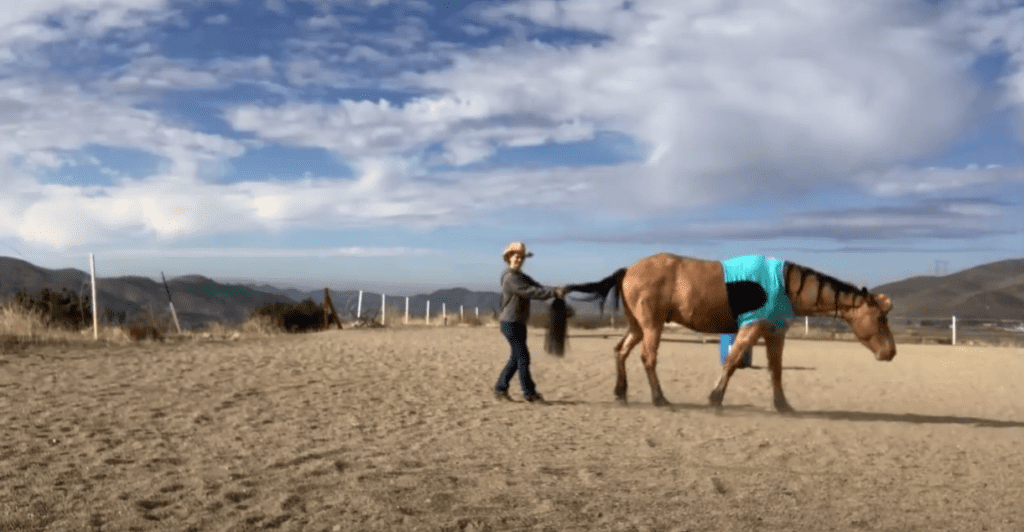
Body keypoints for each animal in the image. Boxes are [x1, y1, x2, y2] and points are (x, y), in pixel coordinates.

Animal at [554, 253, 895, 412]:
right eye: (880, 317)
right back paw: (659, 398)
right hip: (652, 326)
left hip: (637, 326)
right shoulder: (752, 327)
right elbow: (731, 362)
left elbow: (776, 370)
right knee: (648, 358)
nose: (890, 352)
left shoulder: (774, 333)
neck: (784, 284)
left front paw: (783, 405)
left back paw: (621, 392)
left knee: (621, 351)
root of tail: (629, 270)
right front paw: (715, 398)